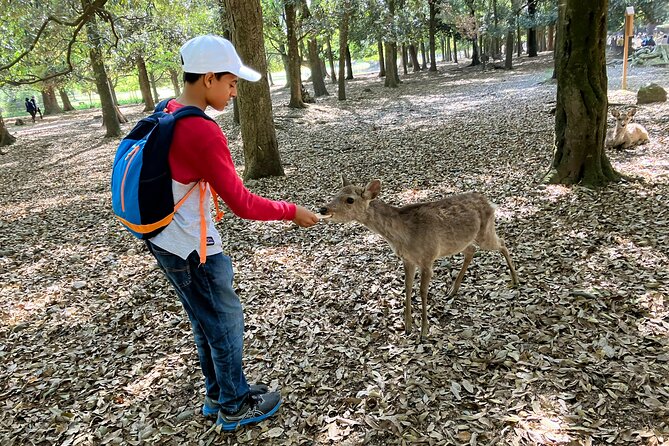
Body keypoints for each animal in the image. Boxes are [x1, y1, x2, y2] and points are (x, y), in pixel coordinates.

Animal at [319, 176, 519, 340]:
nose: (323, 208)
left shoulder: (428, 258)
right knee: (471, 250)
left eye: (349, 199)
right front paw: (407, 327)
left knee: (502, 243)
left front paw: (423, 331)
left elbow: (422, 291)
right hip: (463, 241)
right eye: (336, 193)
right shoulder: (408, 260)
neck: (404, 235)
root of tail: (490, 202)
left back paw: (515, 280)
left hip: (485, 231)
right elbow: (407, 287)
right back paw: (452, 290)